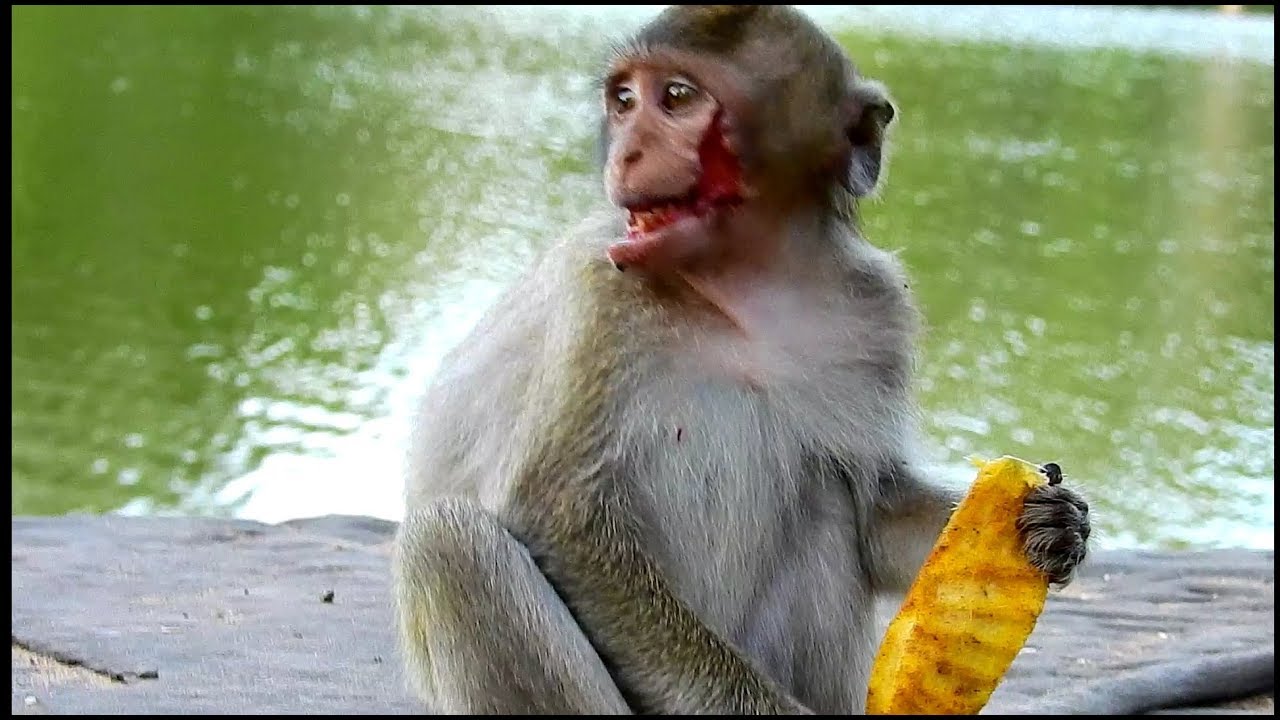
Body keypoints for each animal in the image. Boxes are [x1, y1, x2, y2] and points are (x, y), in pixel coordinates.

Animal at [391, 5, 1264, 715]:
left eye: (676, 98)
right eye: (625, 100)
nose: (628, 149)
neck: (748, 288)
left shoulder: (879, 313)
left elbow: (873, 509)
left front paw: (1052, 524)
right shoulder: (600, 295)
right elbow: (560, 520)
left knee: (820, 496)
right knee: (451, 546)